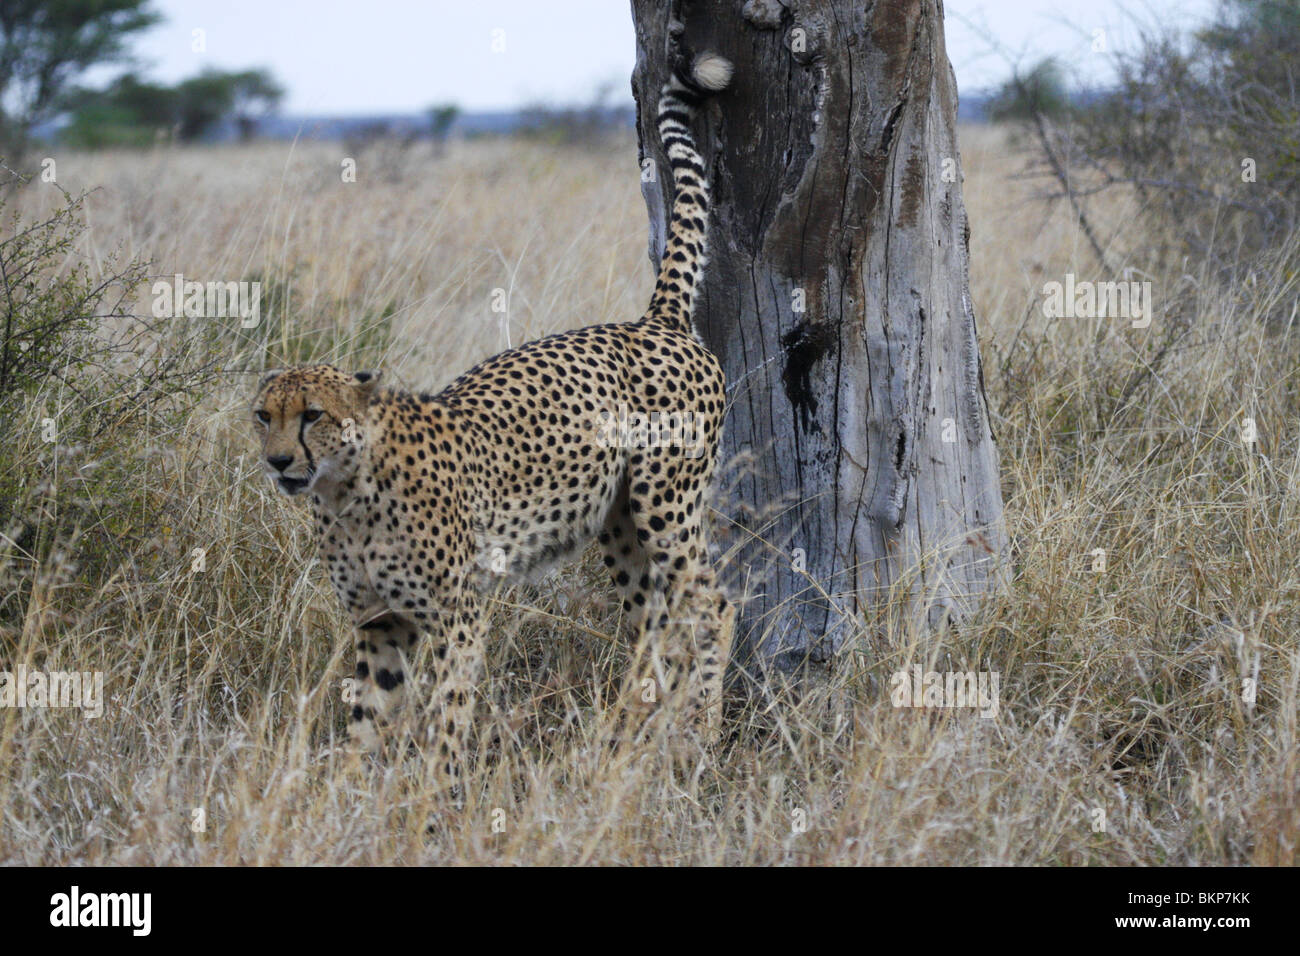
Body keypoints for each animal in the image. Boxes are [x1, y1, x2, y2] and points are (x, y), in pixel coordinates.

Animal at [250, 51, 736, 787]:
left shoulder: (459, 614)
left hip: (667, 506)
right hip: (619, 525)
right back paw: (623, 737)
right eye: (263, 417)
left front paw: (439, 791)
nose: (279, 462)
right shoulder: (379, 621)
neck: (348, 492)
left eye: (311, 416)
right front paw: (348, 791)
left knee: (711, 607)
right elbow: (369, 711)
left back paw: (698, 734)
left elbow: (447, 711)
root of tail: (652, 322)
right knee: (654, 625)